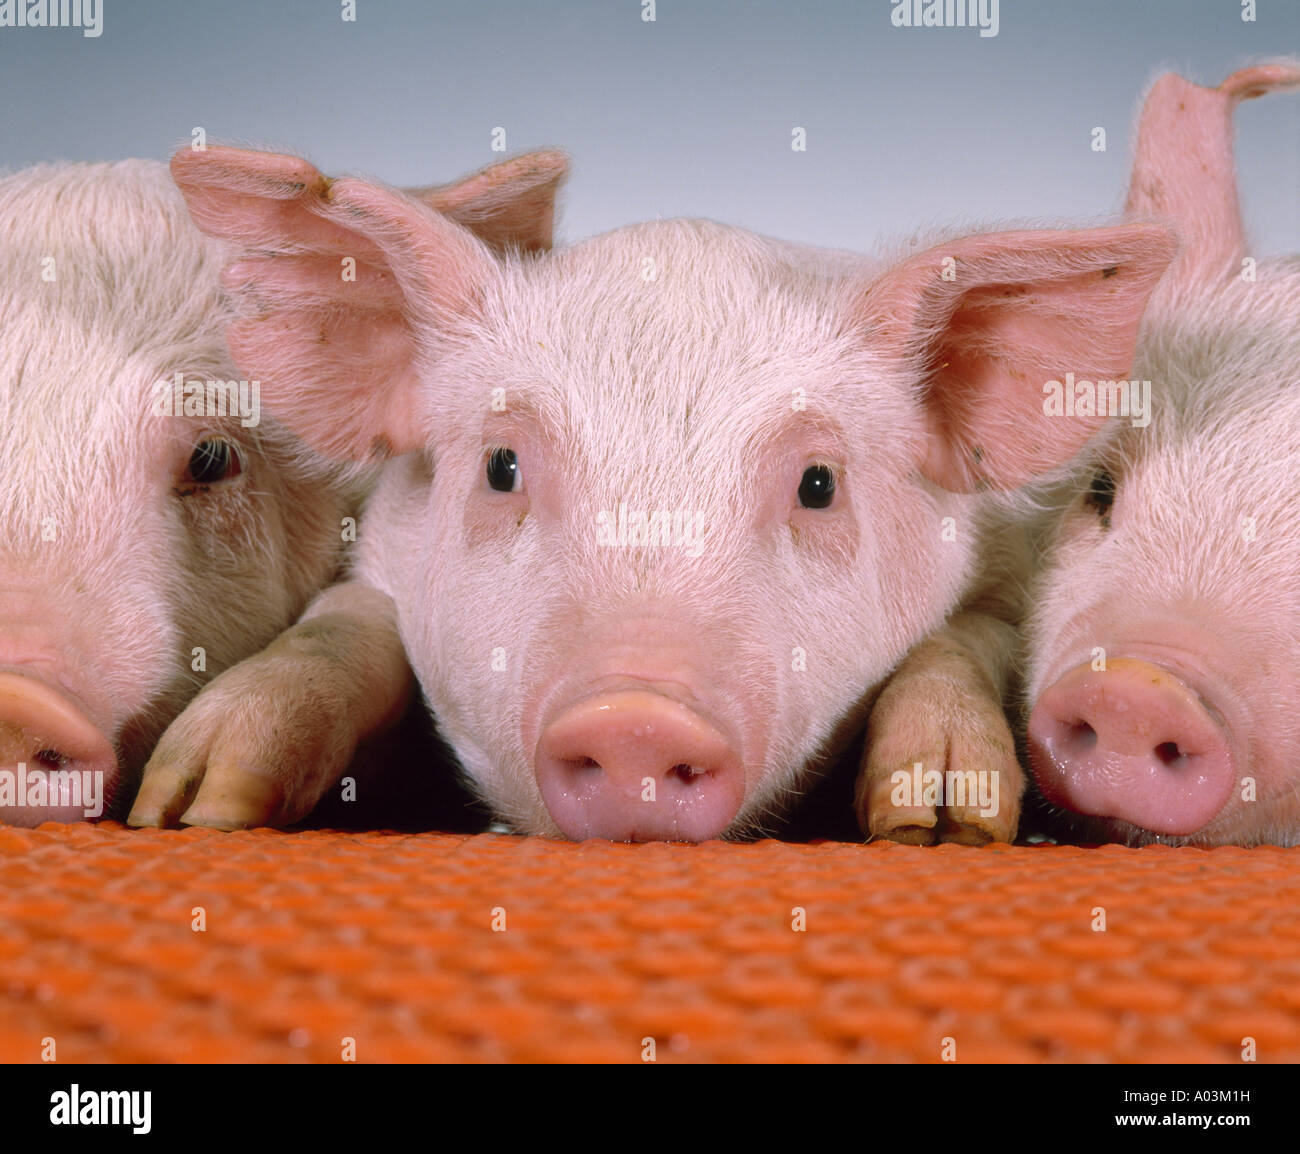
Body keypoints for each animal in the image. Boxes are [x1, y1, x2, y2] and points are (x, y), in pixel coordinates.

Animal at [141, 142, 1175, 842]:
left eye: (818, 484)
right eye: (501, 467)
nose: (635, 715)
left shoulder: (1000, 572)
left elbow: (962, 638)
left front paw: (944, 819)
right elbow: (338, 628)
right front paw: (194, 806)